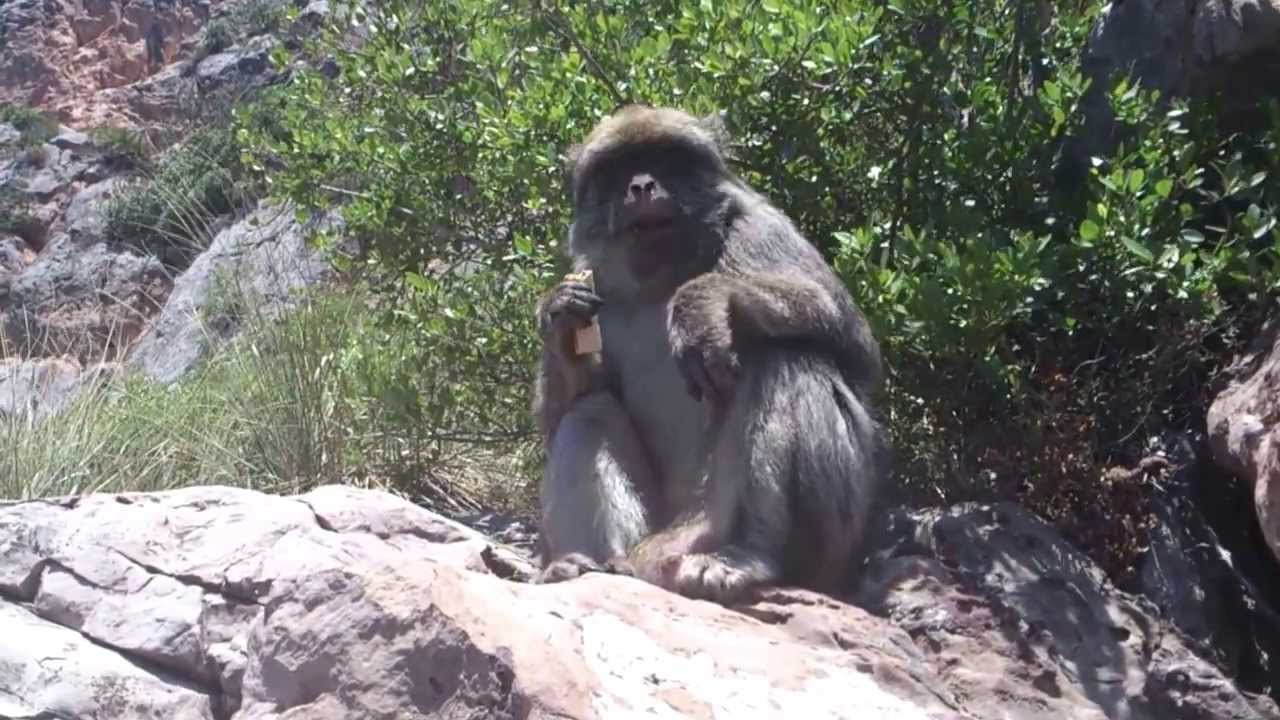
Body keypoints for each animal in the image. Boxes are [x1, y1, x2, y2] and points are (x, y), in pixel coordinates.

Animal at [532, 104, 889, 605]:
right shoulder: (592, 274)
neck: (662, 276)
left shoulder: (762, 228)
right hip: (657, 536)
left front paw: (702, 303)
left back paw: (749, 554)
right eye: (618, 169)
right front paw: (560, 316)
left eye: (665, 158)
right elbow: (563, 410)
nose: (642, 187)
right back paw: (587, 564)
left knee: (787, 358)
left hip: (815, 534)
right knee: (589, 410)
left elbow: (854, 342)